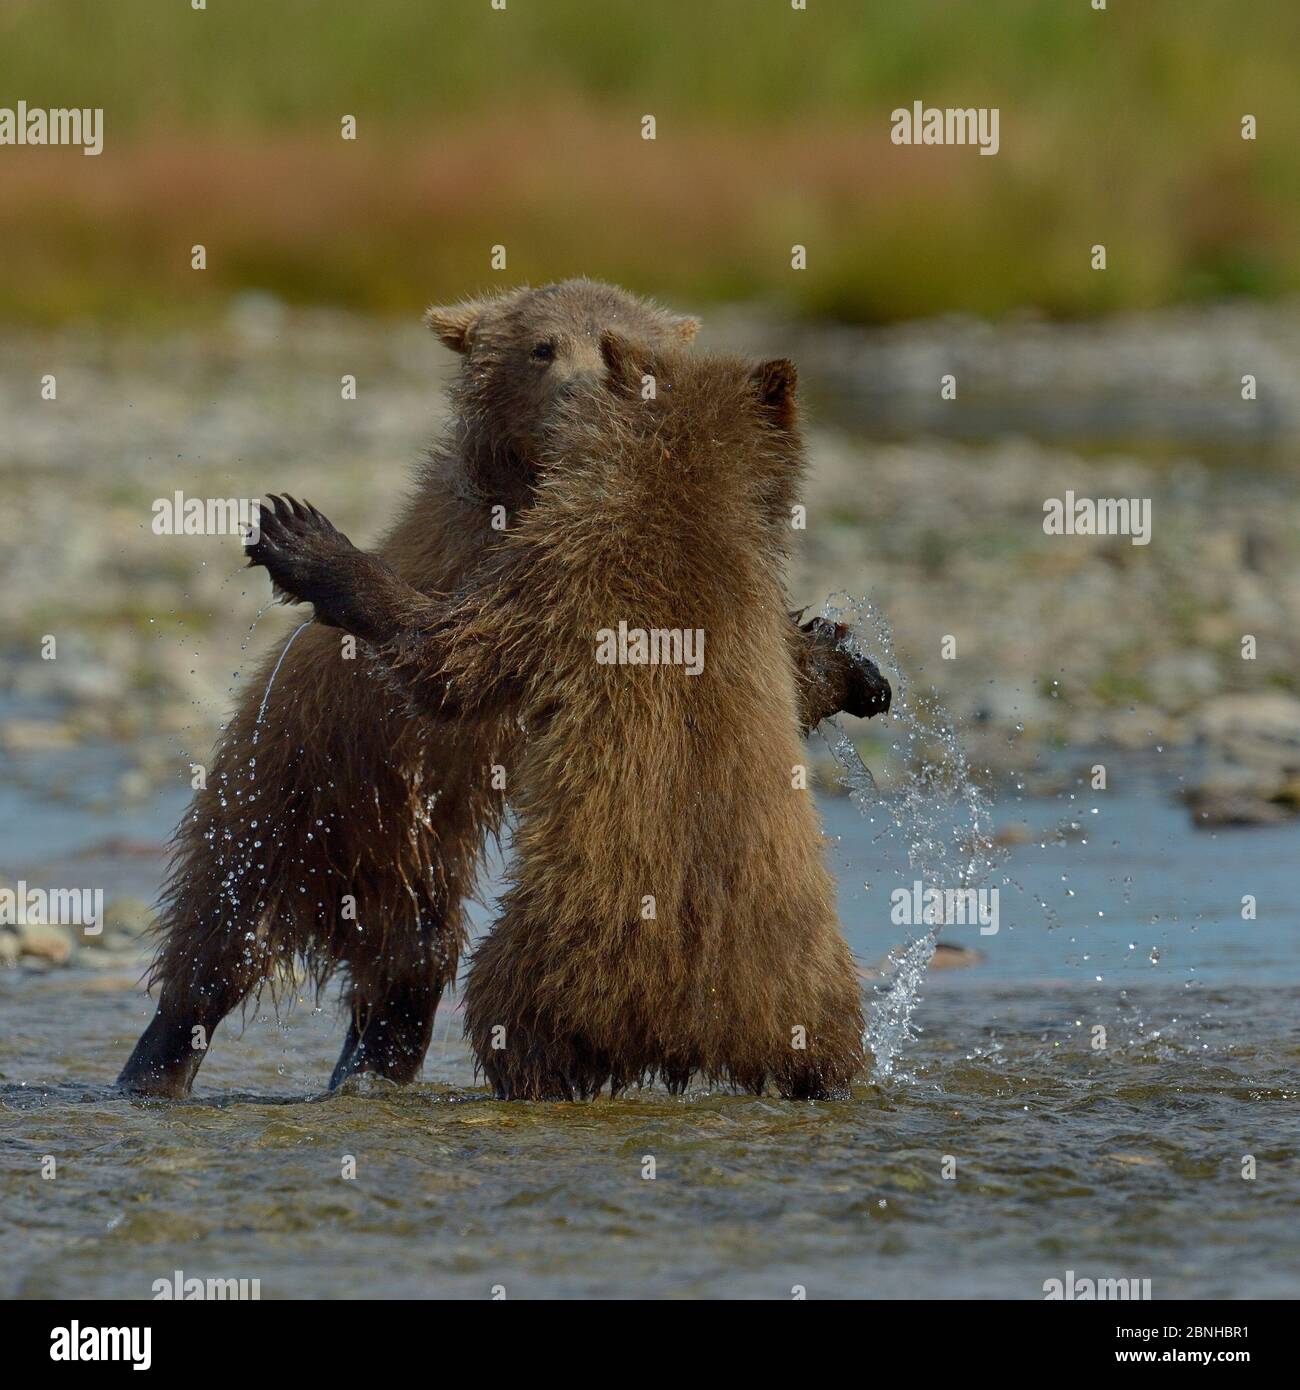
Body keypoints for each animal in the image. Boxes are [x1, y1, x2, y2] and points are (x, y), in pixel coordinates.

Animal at [118, 280, 888, 1099]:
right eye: (542, 348)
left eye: (610, 342)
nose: (580, 392)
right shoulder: (478, 545)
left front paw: (847, 663)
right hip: (293, 787)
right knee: (223, 933)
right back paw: (160, 1064)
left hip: (410, 862)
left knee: (407, 972)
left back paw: (367, 1066)